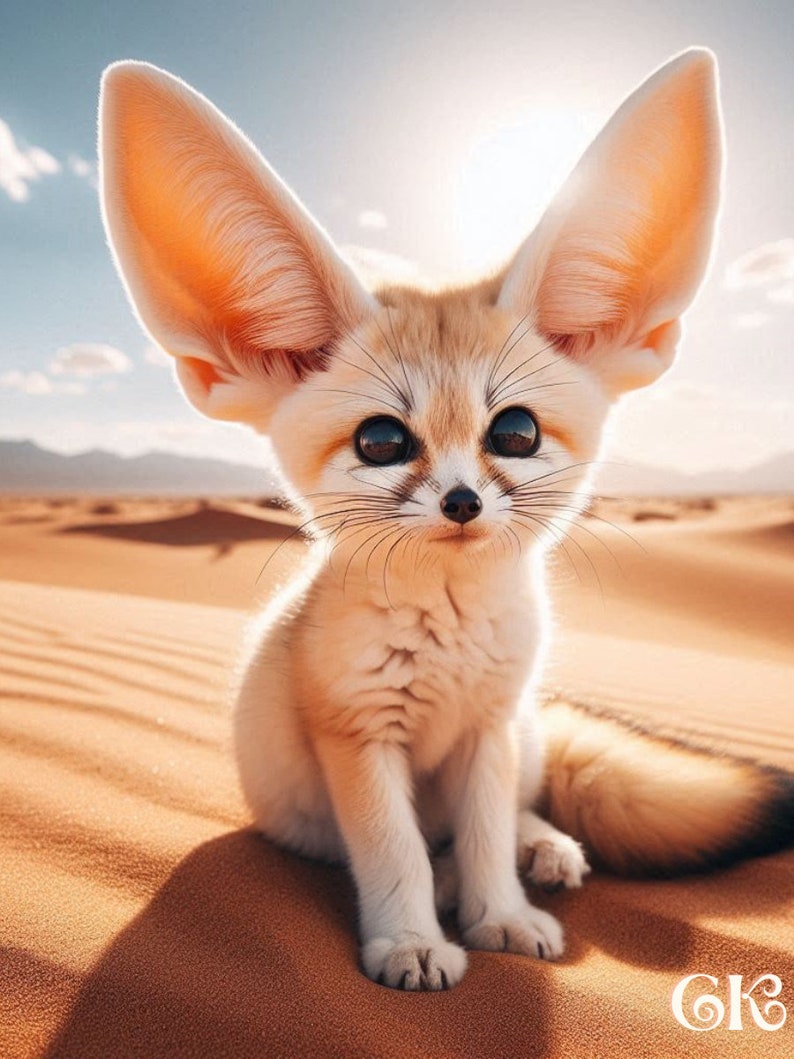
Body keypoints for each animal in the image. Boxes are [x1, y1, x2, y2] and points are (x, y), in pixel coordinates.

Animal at [99, 49, 794, 991]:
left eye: (516, 431)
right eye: (383, 440)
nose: (462, 501)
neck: (450, 636)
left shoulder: (487, 731)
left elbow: (486, 834)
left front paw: (500, 914)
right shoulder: (359, 736)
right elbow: (398, 854)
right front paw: (413, 941)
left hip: (526, 734)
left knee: (511, 819)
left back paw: (543, 854)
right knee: (435, 849)